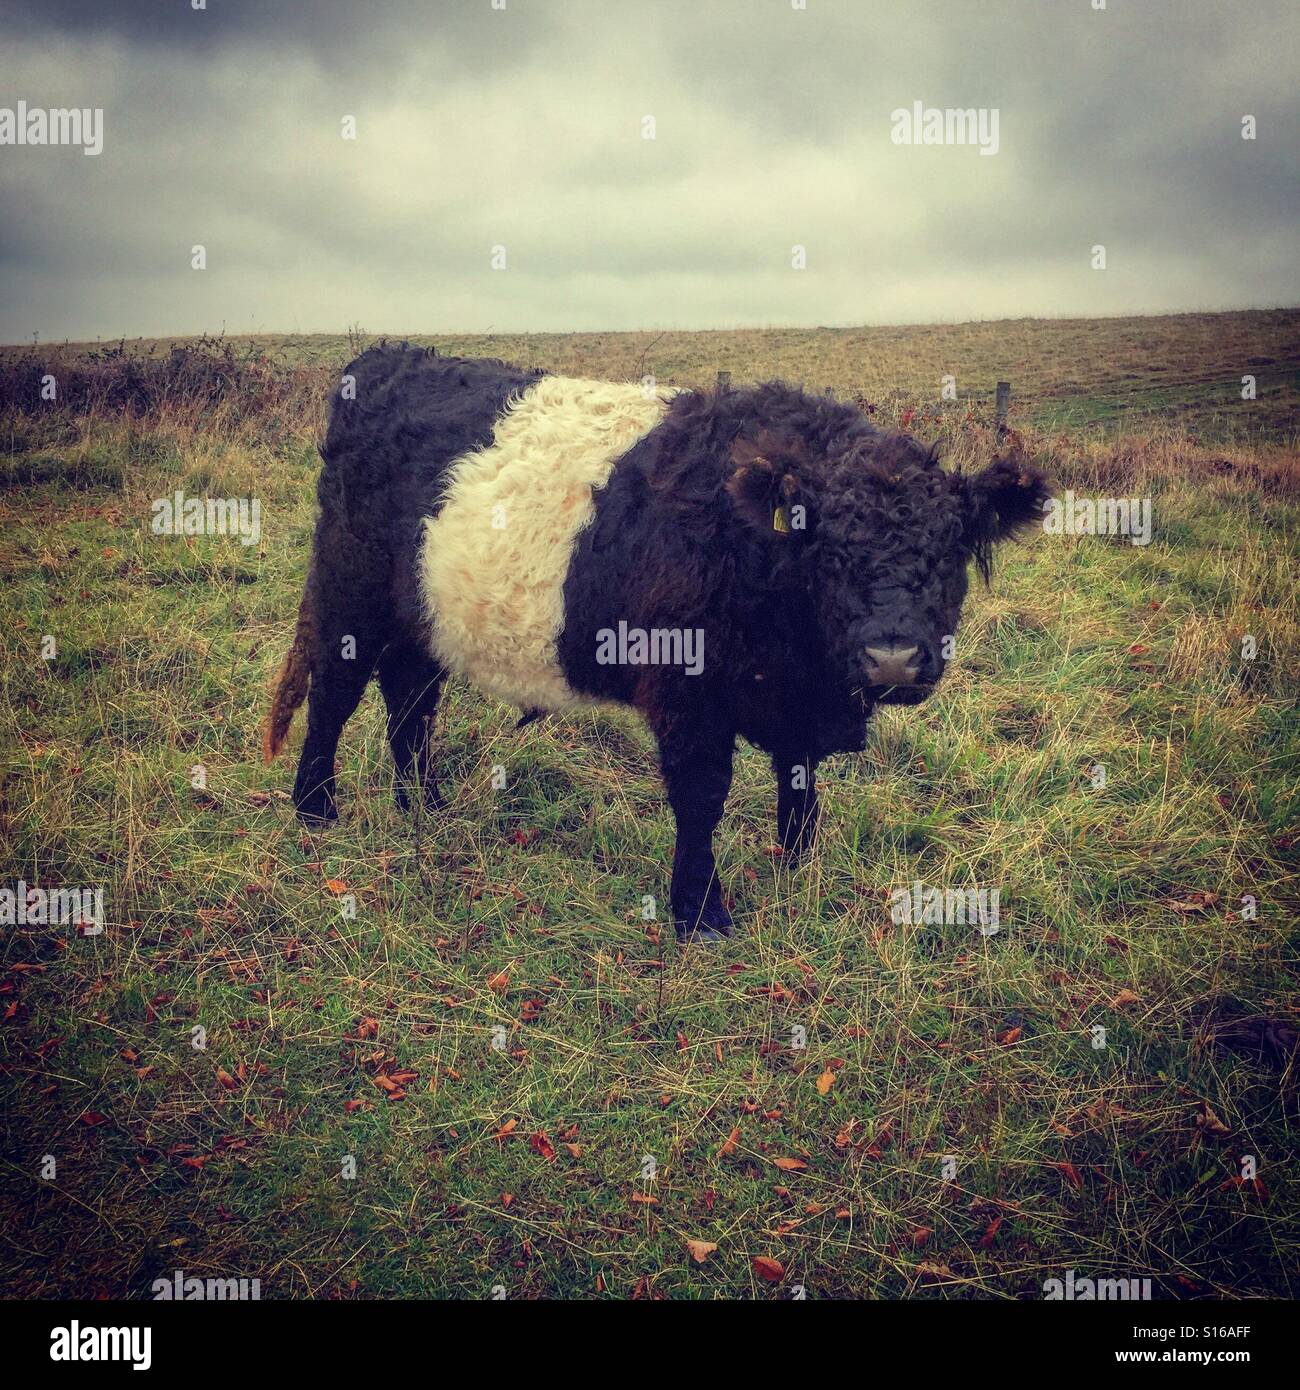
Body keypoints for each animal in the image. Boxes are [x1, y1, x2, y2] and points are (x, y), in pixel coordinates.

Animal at [264, 345, 1051, 942]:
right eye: (830, 554)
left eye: (950, 551)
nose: (892, 658)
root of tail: (389, 358)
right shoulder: (687, 691)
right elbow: (702, 795)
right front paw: (701, 915)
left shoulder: (794, 697)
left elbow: (799, 777)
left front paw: (797, 867)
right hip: (351, 591)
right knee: (337, 693)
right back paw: (316, 810)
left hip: (428, 608)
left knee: (410, 698)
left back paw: (425, 805)